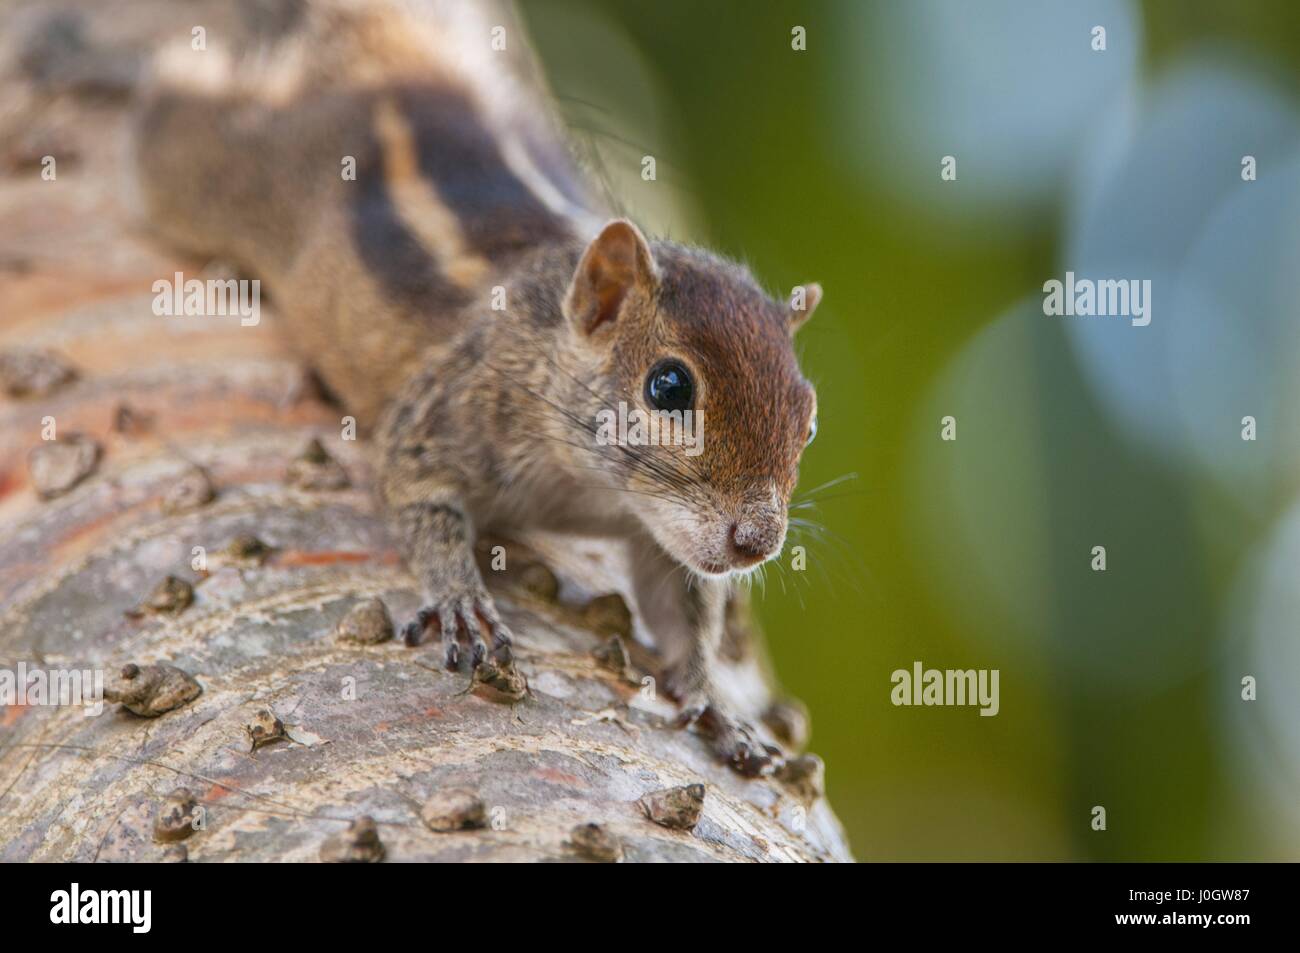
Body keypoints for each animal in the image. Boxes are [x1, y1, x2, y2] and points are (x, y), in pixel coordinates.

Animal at [126, 0, 823, 775]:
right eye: (668, 386)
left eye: (809, 417)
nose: (757, 542)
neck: (591, 488)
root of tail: (395, 71)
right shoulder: (441, 413)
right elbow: (416, 492)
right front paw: (461, 595)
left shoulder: (660, 533)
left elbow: (682, 606)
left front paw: (713, 698)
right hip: (210, 170)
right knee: (171, 109)